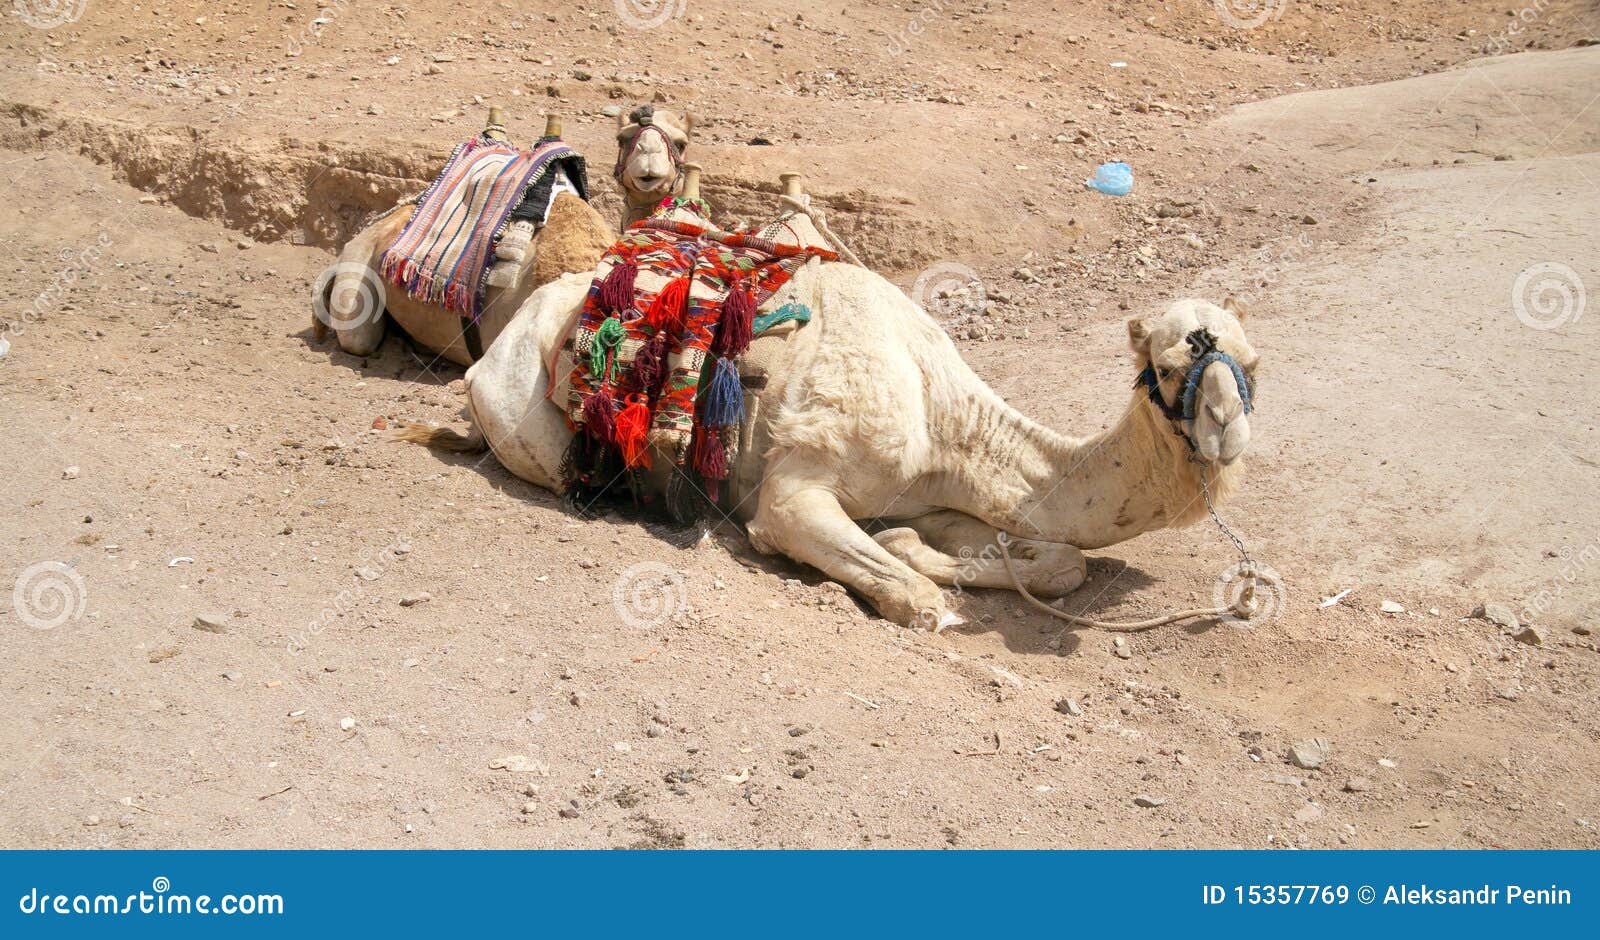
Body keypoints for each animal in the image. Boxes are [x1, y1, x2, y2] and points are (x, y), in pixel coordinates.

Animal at [397, 216, 1260, 628]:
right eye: (1167, 366)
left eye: (1253, 363)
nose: (1225, 428)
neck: (939, 409)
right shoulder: (798, 486)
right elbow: (914, 596)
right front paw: (901, 573)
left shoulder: (938, 490)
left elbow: (1060, 563)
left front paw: (910, 543)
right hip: (526, 423)